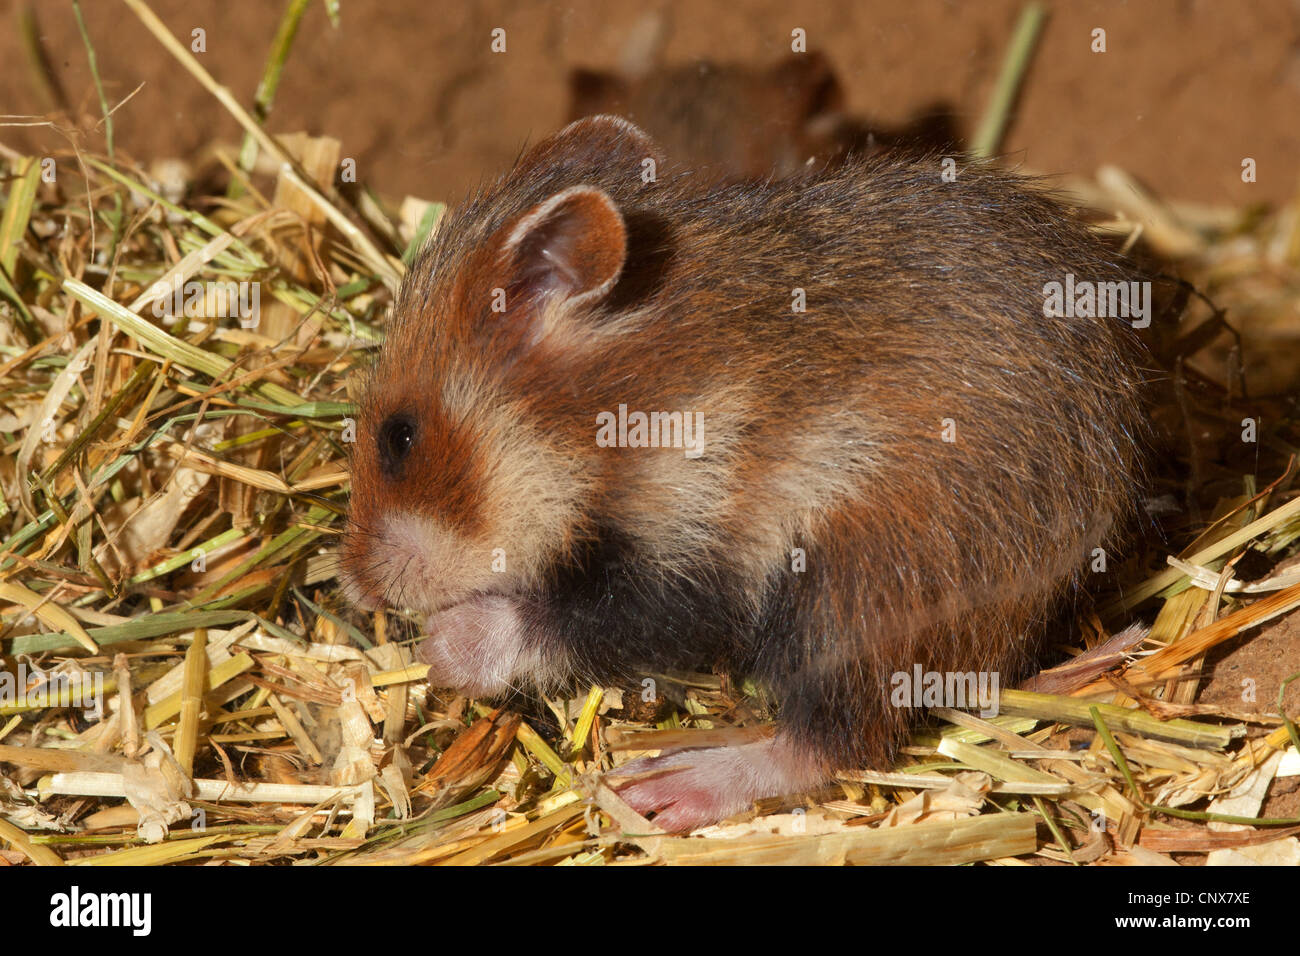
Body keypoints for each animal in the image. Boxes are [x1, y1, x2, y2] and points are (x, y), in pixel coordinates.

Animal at [341, 115, 1149, 832]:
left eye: (399, 438)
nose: (355, 590)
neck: (600, 418)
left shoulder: (693, 547)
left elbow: (566, 618)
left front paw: (440, 650)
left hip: (854, 587)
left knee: (835, 741)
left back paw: (666, 789)